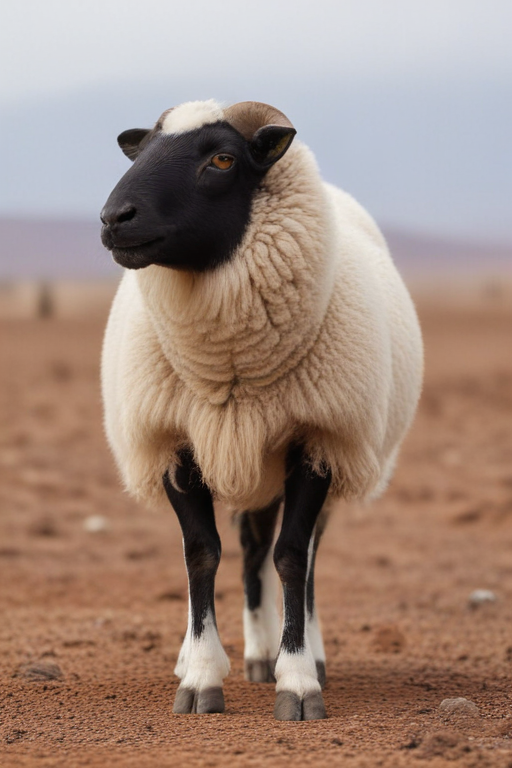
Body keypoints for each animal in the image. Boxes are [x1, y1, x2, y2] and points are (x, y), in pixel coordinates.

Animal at [100, 99, 423, 721]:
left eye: (223, 159)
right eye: (142, 149)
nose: (113, 217)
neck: (230, 373)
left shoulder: (317, 441)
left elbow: (293, 557)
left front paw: (296, 682)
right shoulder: (176, 443)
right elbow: (201, 554)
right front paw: (201, 676)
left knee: (302, 555)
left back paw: (300, 654)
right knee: (247, 551)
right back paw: (241, 655)